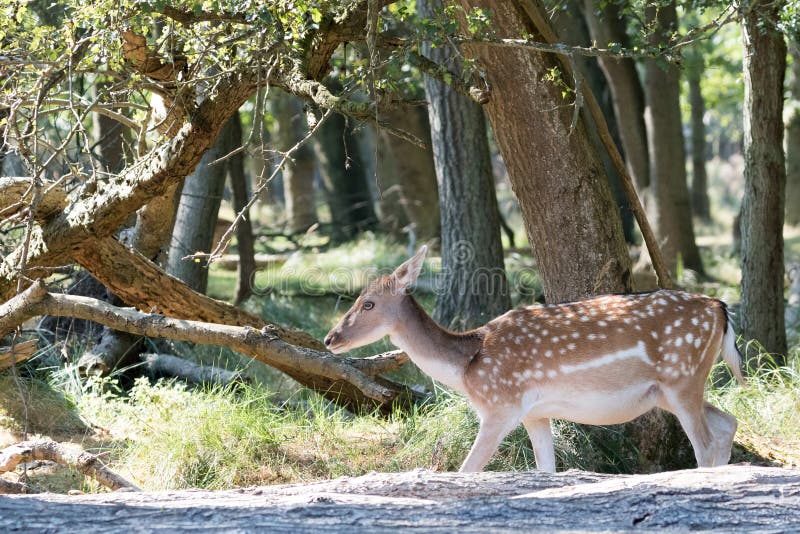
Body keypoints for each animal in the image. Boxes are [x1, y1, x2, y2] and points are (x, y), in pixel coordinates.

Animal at [324, 246, 746, 473]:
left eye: (368, 302)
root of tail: (720, 308)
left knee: (705, 443)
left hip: (682, 374)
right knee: (728, 421)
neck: (468, 365)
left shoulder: (500, 406)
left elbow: (467, 469)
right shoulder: (535, 413)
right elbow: (547, 469)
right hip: (672, 389)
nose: (330, 339)